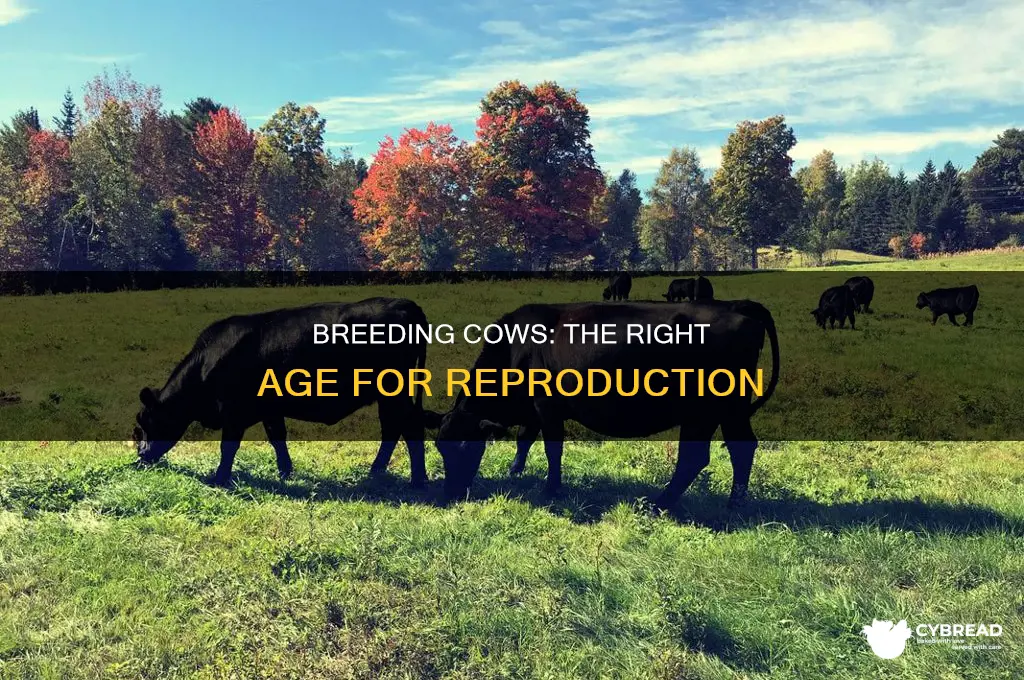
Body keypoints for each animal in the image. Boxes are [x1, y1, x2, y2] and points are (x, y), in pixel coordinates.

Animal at [133, 297, 429, 488]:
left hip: (394, 392)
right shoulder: (270, 409)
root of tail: (404, 304)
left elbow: (228, 446)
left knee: (407, 428)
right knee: (393, 429)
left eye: (145, 423)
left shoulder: (234, 412)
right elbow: (277, 437)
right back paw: (378, 472)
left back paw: (416, 480)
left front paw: (220, 478)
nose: (141, 455)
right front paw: (286, 471)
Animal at [424, 301, 780, 511]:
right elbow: (525, 439)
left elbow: (552, 448)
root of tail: (740, 308)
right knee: (740, 448)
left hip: (707, 411)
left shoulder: (546, 406)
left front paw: (551, 488)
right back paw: (733, 503)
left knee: (698, 457)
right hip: (729, 410)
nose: (450, 493)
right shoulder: (534, 409)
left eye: (467, 447)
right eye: (441, 447)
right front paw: (516, 470)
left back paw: (662, 504)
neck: (516, 349)